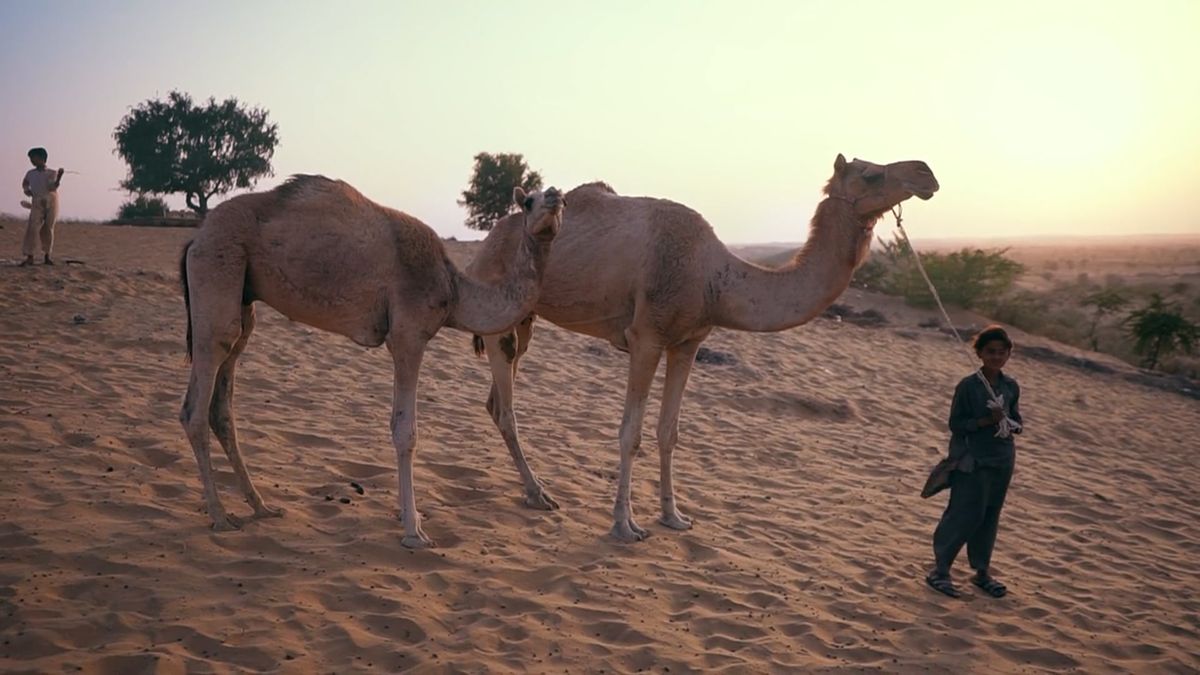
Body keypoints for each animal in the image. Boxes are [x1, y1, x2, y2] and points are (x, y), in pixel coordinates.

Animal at [179, 175, 564, 548]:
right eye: (529, 201)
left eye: (557, 198)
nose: (556, 196)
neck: (455, 290)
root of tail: (196, 237)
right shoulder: (408, 334)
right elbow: (405, 431)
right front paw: (413, 530)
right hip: (217, 266)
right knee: (196, 403)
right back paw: (220, 516)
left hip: (244, 298)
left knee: (223, 402)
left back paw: (261, 507)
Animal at [469, 154, 939, 542]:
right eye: (872, 173)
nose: (926, 172)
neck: (716, 280)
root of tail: (491, 238)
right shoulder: (646, 337)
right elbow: (631, 434)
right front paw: (625, 525)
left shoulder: (688, 343)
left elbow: (669, 432)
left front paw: (673, 517)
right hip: (497, 307)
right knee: (507, 409)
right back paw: (538, 494)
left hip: (525, 321)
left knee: (496, 400)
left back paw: (533, 489)